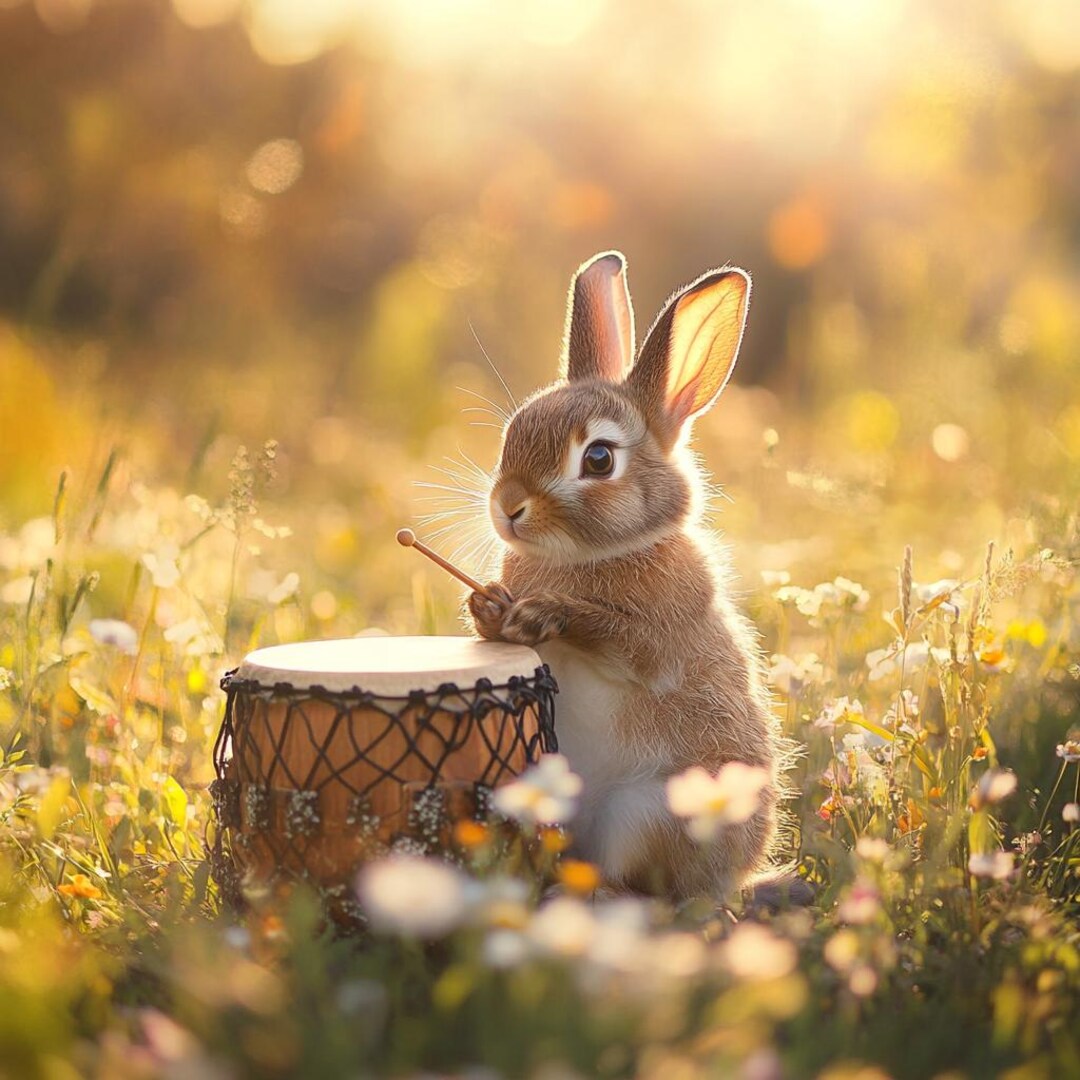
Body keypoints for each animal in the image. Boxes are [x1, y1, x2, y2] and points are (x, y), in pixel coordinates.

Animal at [468, 250, 791, 905]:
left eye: (598, 459)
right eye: (512, 433)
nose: (507, 505)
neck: (582, 558)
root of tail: (734, 876)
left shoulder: (660, 640)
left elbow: (620, 640)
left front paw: (545, 613)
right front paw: (489, 607)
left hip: (647, 810)